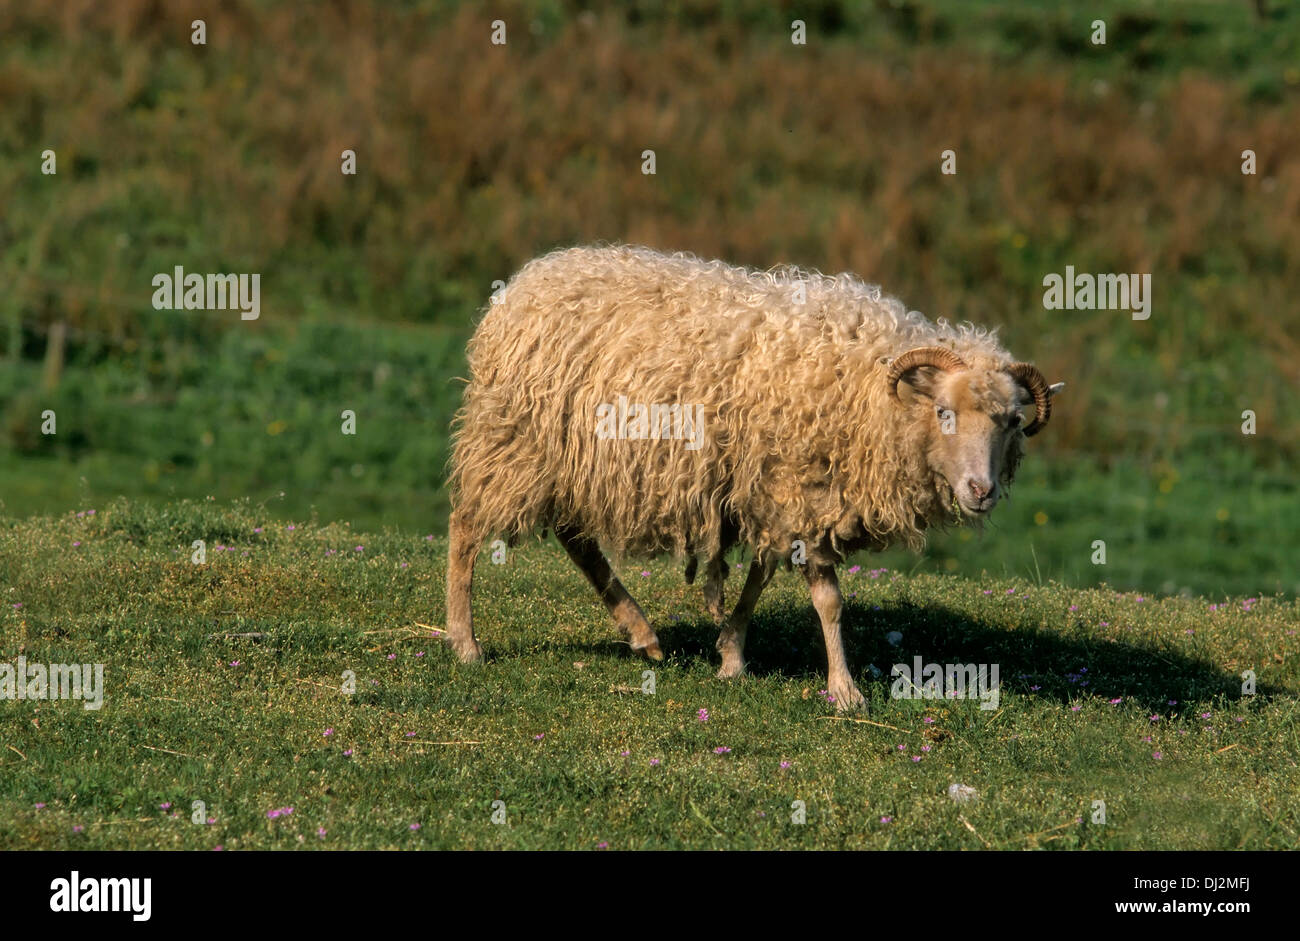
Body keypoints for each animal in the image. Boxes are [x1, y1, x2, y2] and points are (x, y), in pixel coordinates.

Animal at [445, 244, 1063, 710]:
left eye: (1013, 422)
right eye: (944, 412)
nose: (981, 491)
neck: (869, 389)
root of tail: (521, 284)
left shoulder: (776, 492)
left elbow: (760, 577)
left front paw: (731, 653)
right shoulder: (802, 487)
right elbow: (828, 600)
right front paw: (845, 690)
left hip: (567, 461)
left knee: (577, 540)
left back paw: (641, 634)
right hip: (513, 440)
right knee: (466, 528)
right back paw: (465, 642)